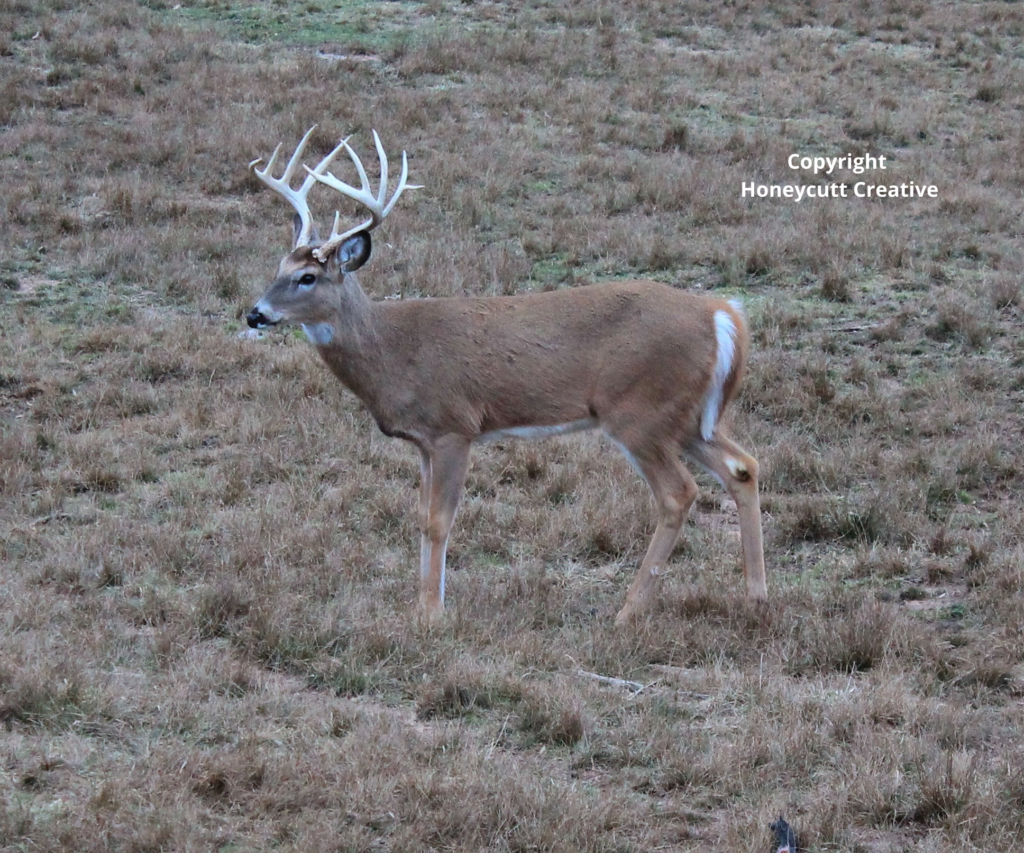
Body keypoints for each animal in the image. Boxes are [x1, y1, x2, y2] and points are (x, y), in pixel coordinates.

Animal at [245, 126, 767, 625]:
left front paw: (431, 615)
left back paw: (629, 611)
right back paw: (754, 597)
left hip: (640, 411)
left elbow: (438, 520)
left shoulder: (454, 426)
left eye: (308, 278)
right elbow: (420, 518)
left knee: (679, 494)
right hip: (688, 416)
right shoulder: (423, 441)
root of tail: (722, 313)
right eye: (279, 266)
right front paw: (420, 606)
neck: (393, 353)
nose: (255, 314)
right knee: (742, 466)